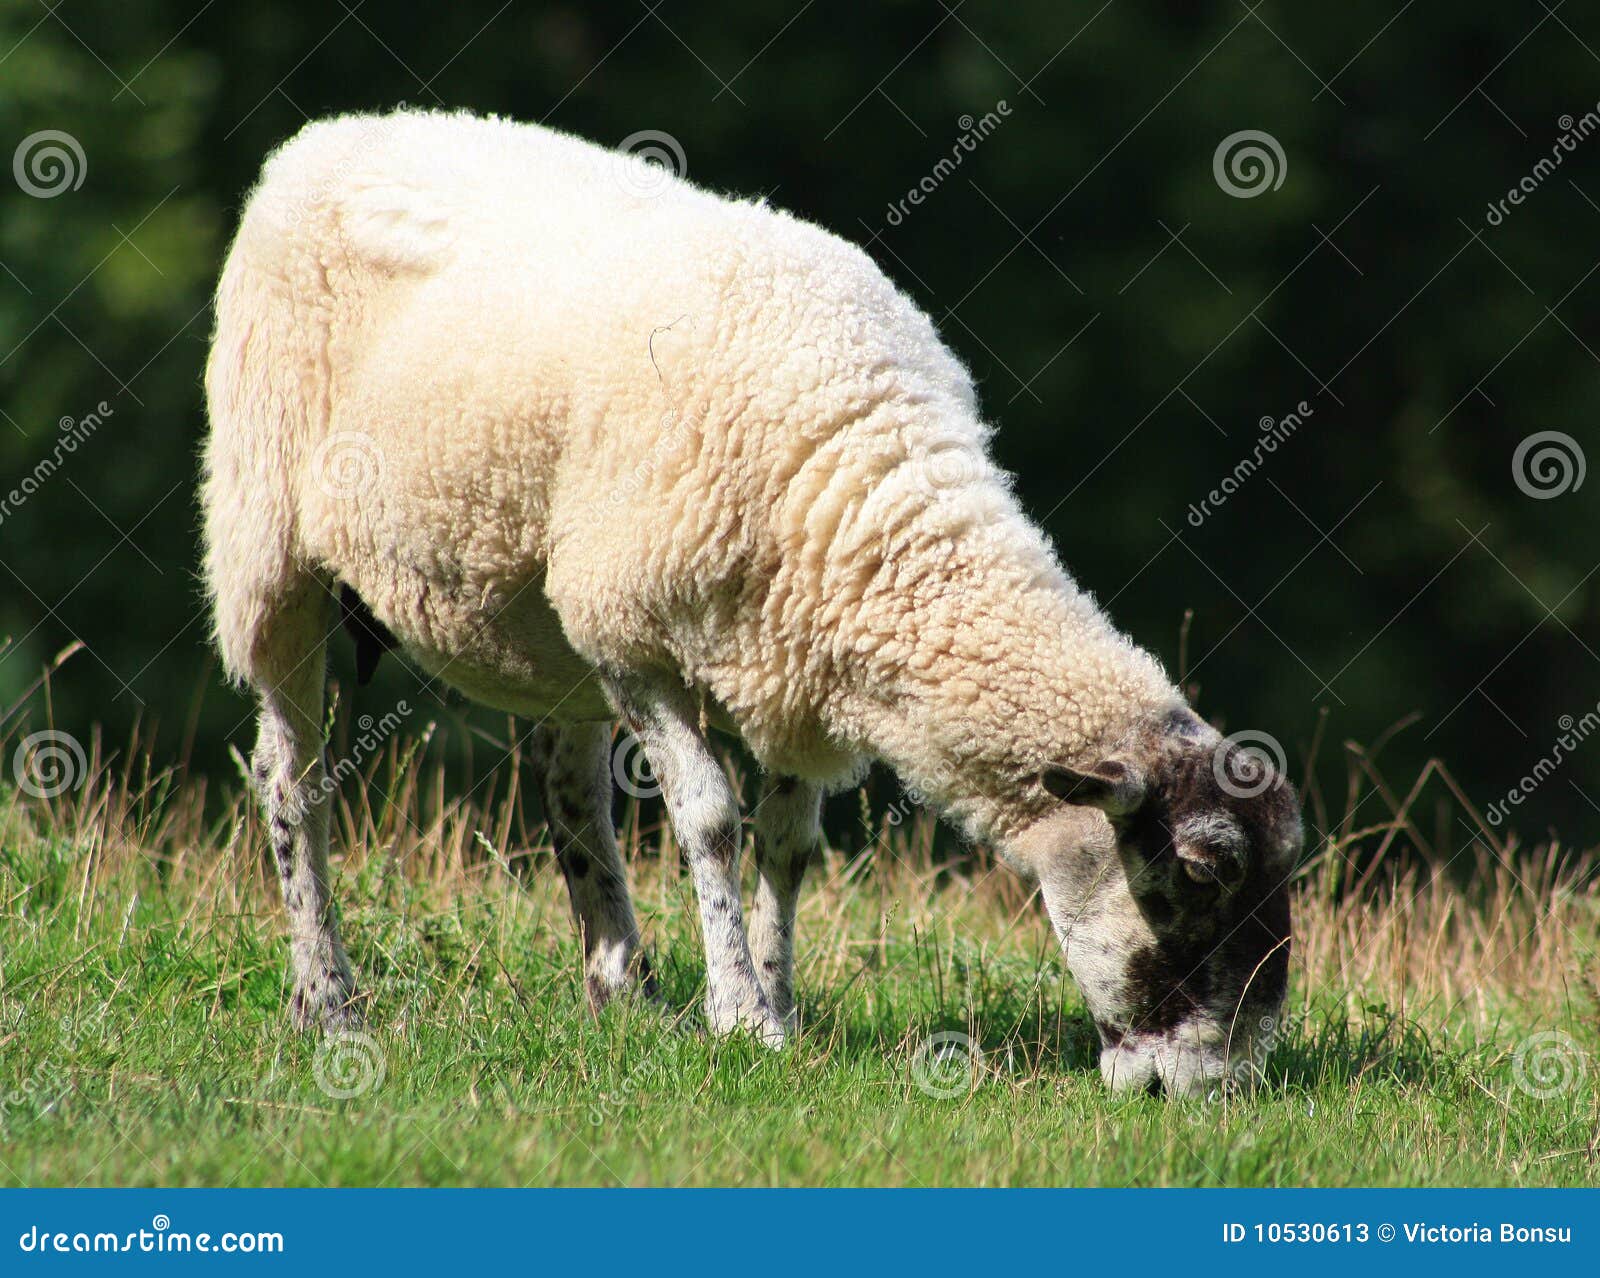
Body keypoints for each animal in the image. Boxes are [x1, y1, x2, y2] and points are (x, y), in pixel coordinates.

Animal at [202, 108, 1301, 1097]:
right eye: (1200, 874)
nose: (1213, 1088)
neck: (865, 472)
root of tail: (326, 136)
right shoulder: (631, 638)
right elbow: (711, 821)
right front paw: (739, 1017)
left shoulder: (794, 667)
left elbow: (788, 845)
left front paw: (778, 1007)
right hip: (269, 544)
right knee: (291, 780)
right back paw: (327, 999)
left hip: (544, 616)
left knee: (572, 793)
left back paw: (622, 994)